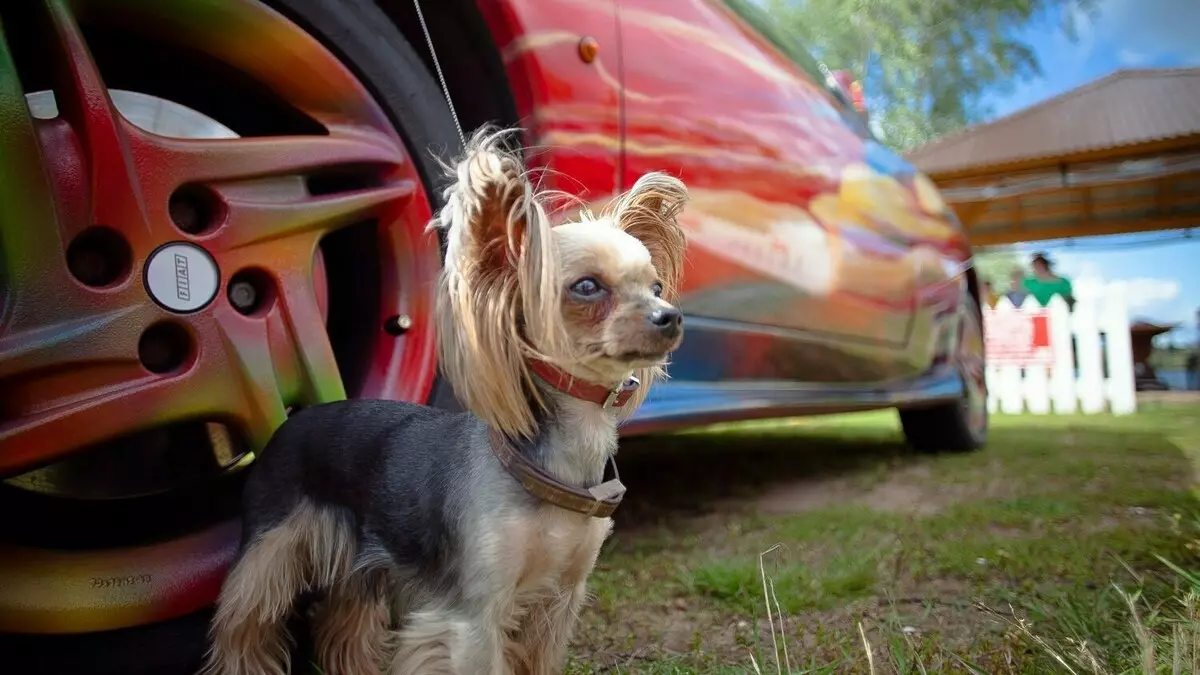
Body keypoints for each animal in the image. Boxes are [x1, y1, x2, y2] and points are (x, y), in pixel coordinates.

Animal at [202, 130, 691, 672]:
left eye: (657, 286)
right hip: (272, 551)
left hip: (362, 559)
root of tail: (297, 418)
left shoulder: (558, 599)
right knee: (245, 625)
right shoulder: (474, 614)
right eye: (587, 286)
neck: (563, 452)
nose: (670, 316)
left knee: (345, 626)